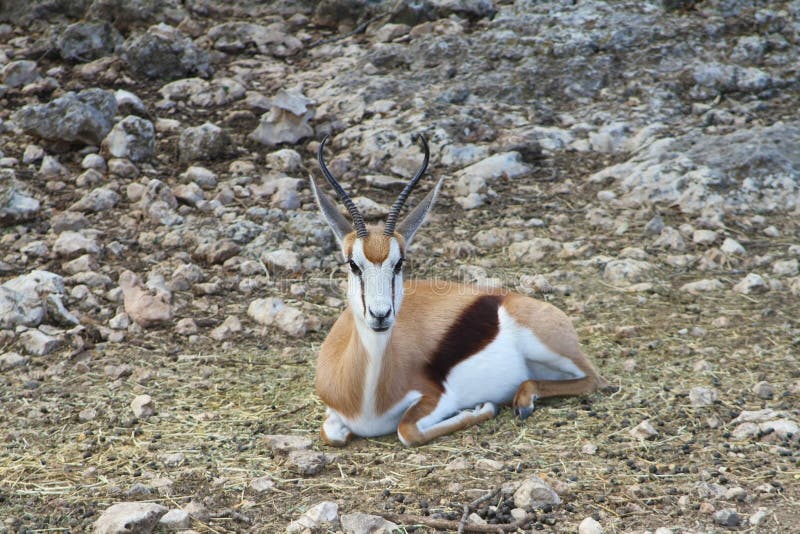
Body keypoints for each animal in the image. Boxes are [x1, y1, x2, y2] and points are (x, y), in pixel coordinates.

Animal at [310, 134, 608, 447]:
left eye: (399, 263)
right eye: (353, 264)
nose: (381, 316)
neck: (366, 396)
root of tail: (507, 297)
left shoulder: (437, 396)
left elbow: (407, 431)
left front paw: (481, 408)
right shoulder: (333, 417)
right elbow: (332, 434)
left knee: (595, 380)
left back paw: (522, 401)